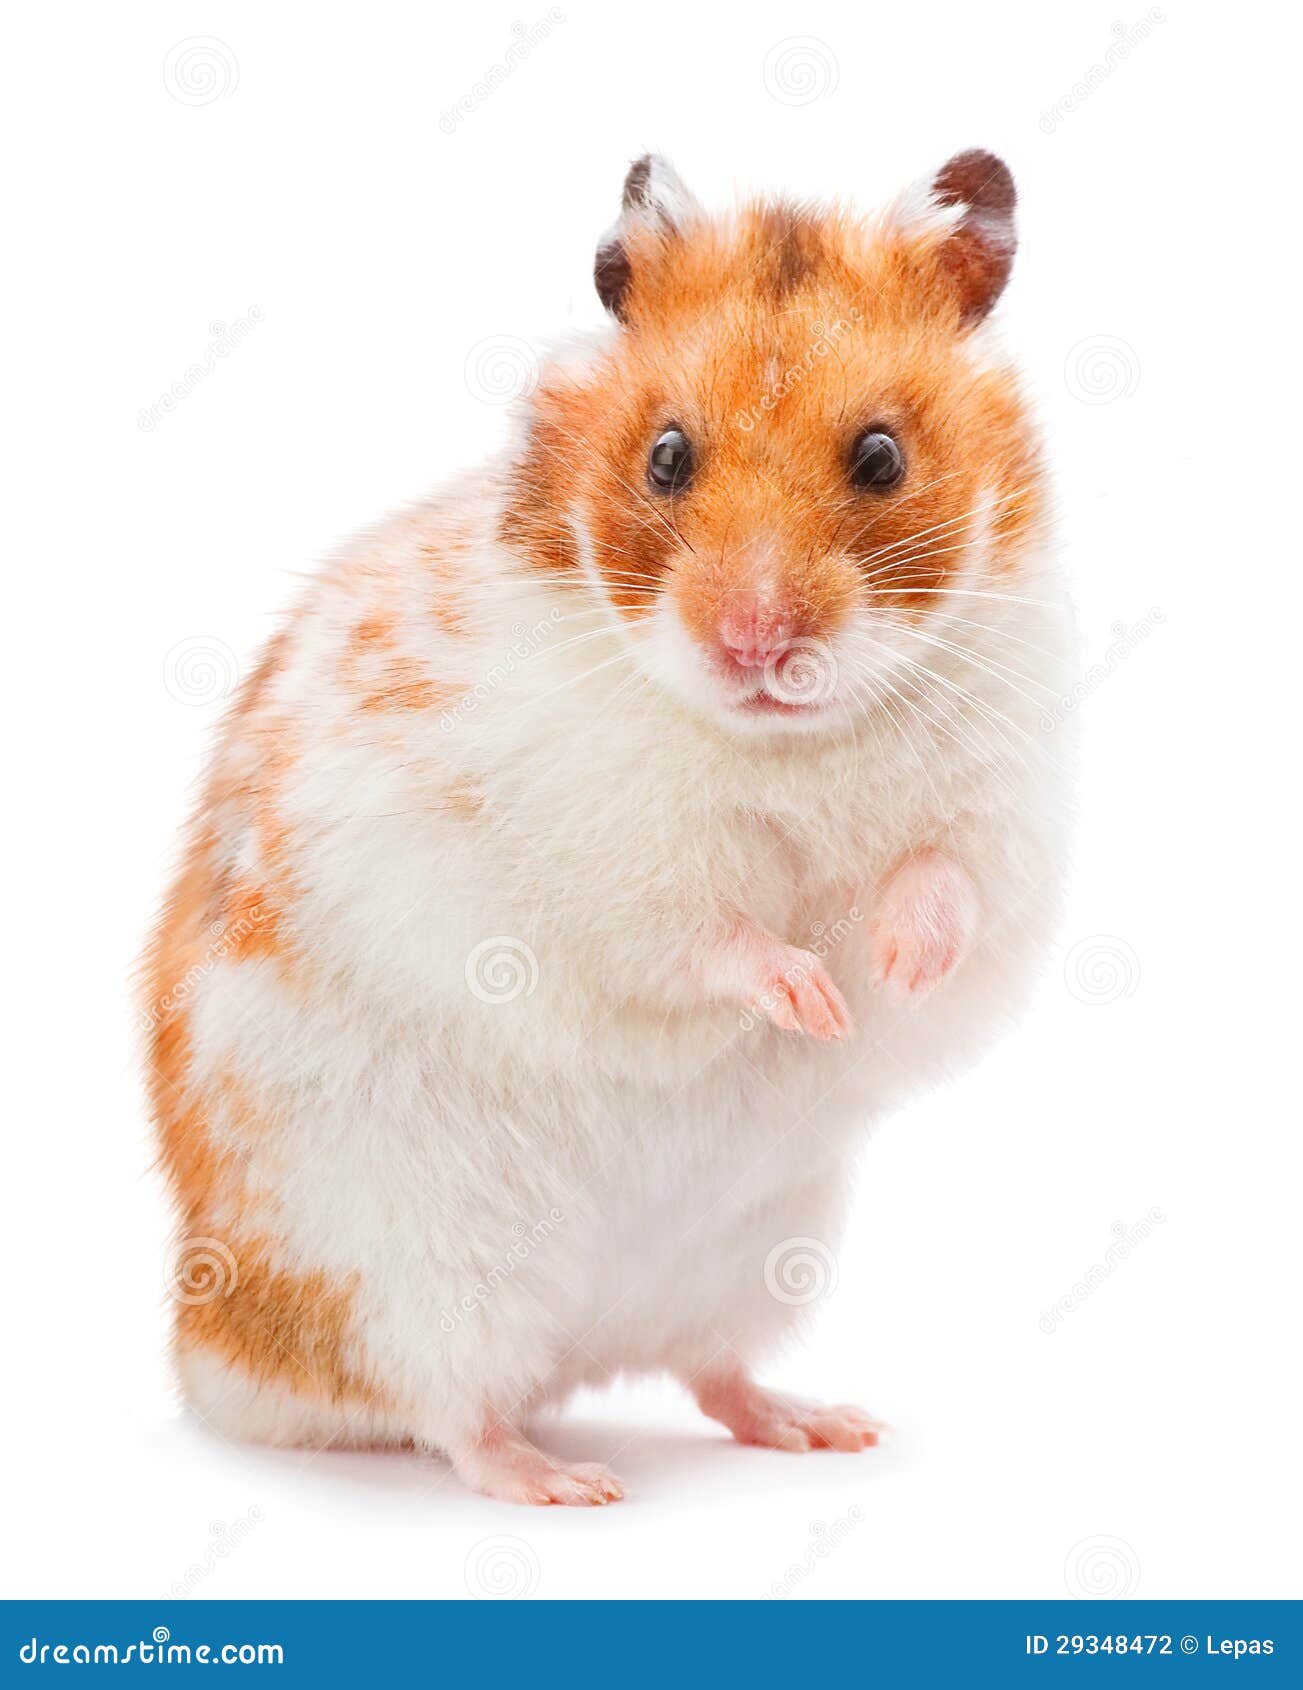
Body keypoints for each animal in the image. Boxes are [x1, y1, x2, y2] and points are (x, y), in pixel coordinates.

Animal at [142, 150, 1073, 1506]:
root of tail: (222, 1351)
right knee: (452, 1411)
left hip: (755, 1249)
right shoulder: (607, 860)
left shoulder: (1002, 810)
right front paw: (812, 998)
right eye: (668, 455)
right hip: (415, 1265)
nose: (753, 642)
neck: (784, 744)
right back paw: (564, 1483)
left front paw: (893, 969)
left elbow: (943, 881)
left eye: (882, 457)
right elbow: (704, 935)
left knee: (709, 1370)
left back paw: (821, 1424)